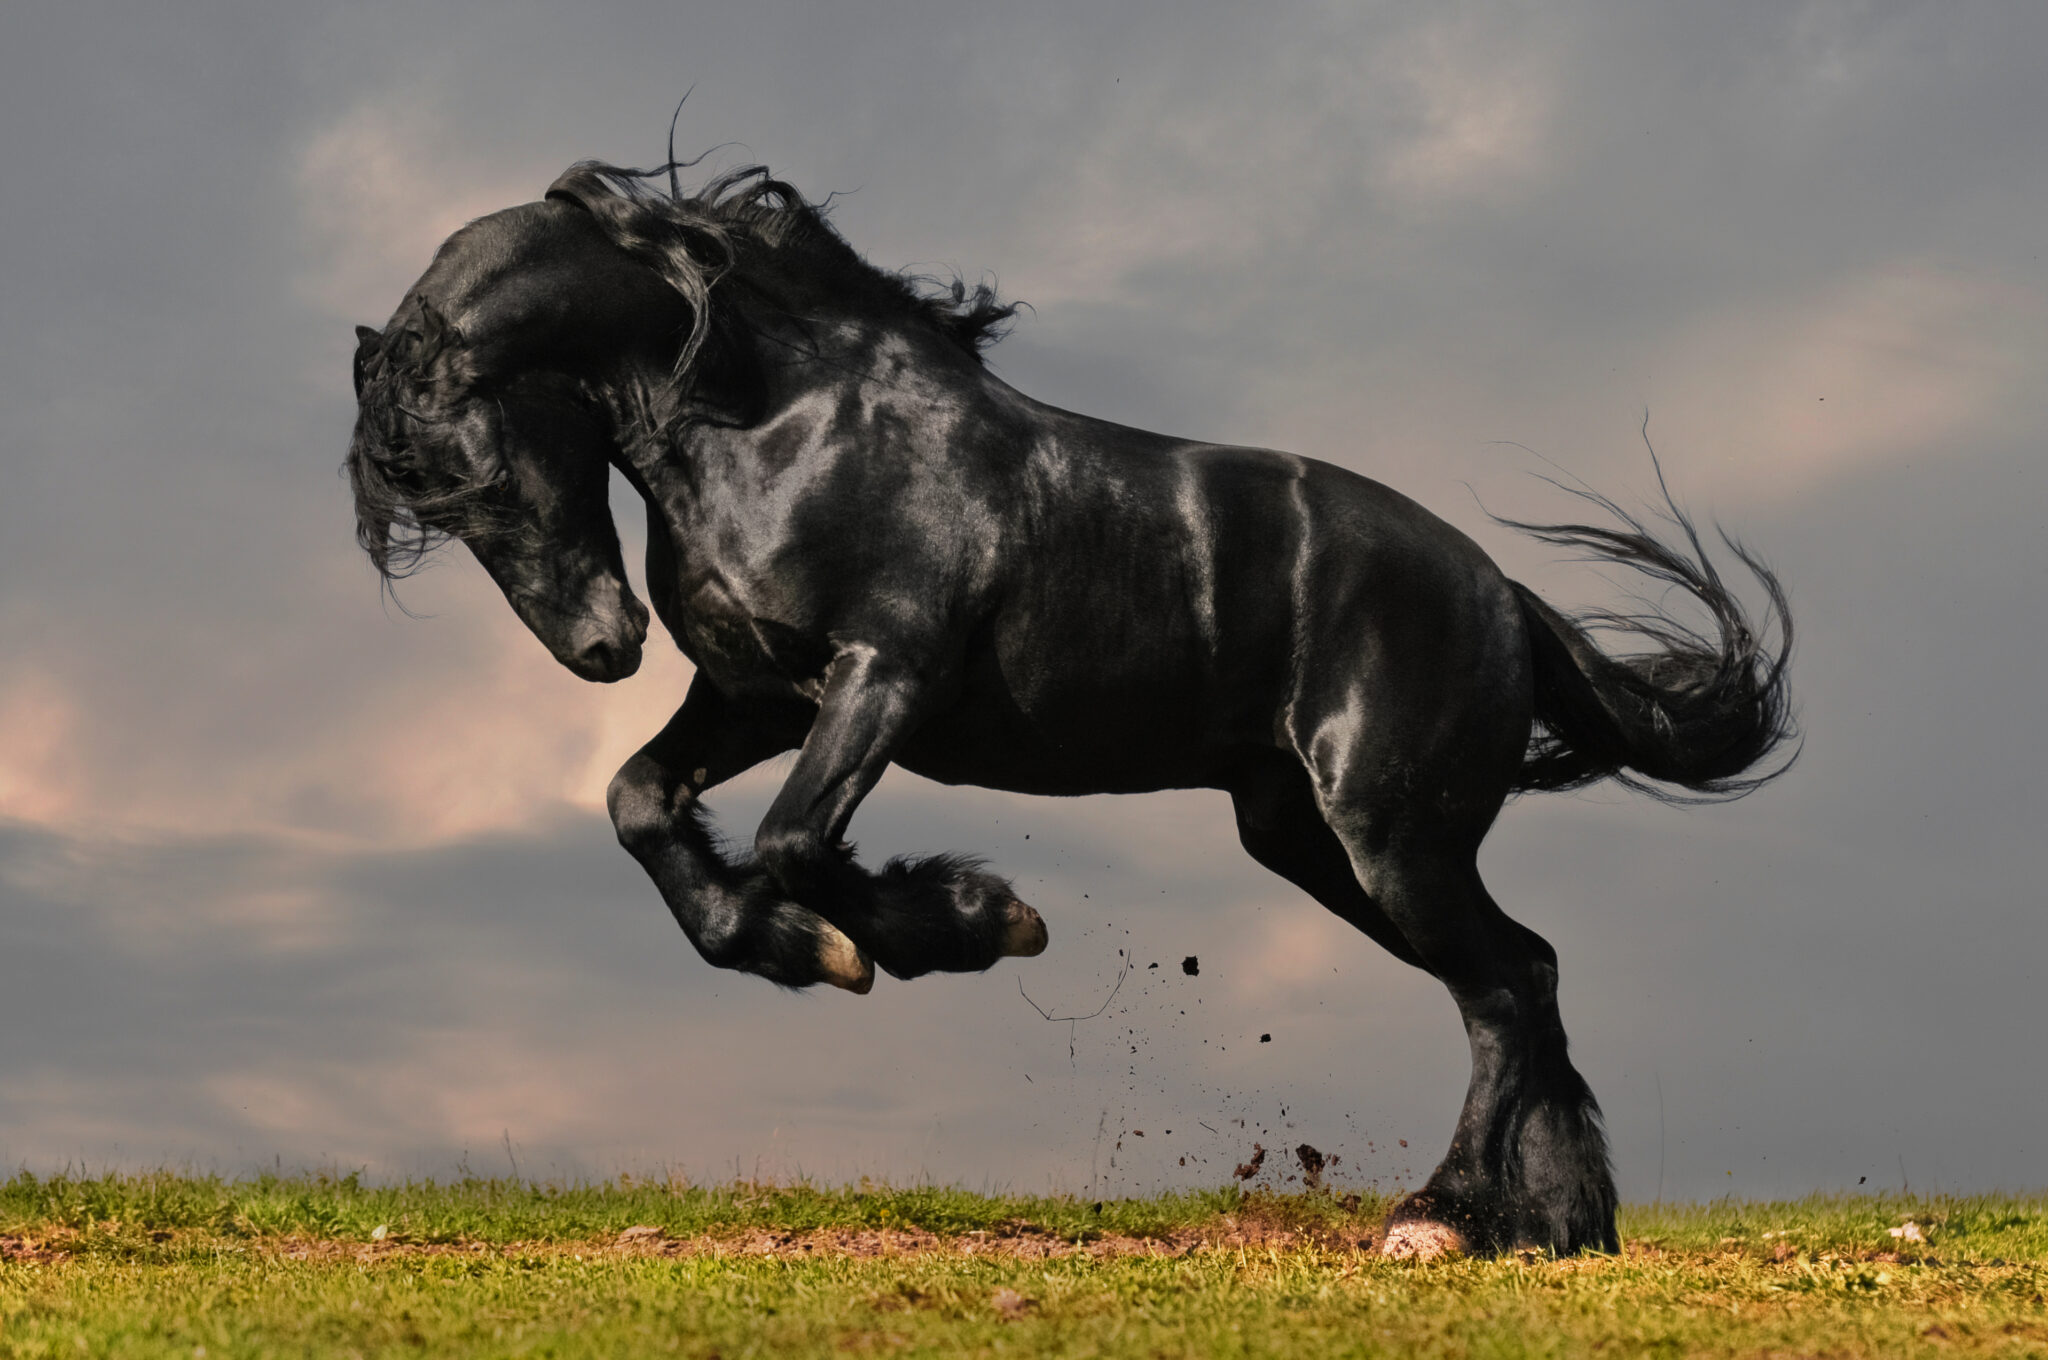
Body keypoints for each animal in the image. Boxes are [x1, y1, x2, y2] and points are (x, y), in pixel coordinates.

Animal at [346, 157, 1794, 1258]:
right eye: (430, 503)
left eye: (480, 471)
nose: (600, 647)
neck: (781, 421)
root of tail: (1502, 595)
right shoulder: (755, 692)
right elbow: (643, 804)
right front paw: (799, 946)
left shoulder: (882, 677)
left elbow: (795, 841)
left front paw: (962, 923)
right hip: (1310, 840)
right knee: (1525, 974)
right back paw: (1553, 1225)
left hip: (1391, 835)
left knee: (1501, 986)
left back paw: (1443, 1218)